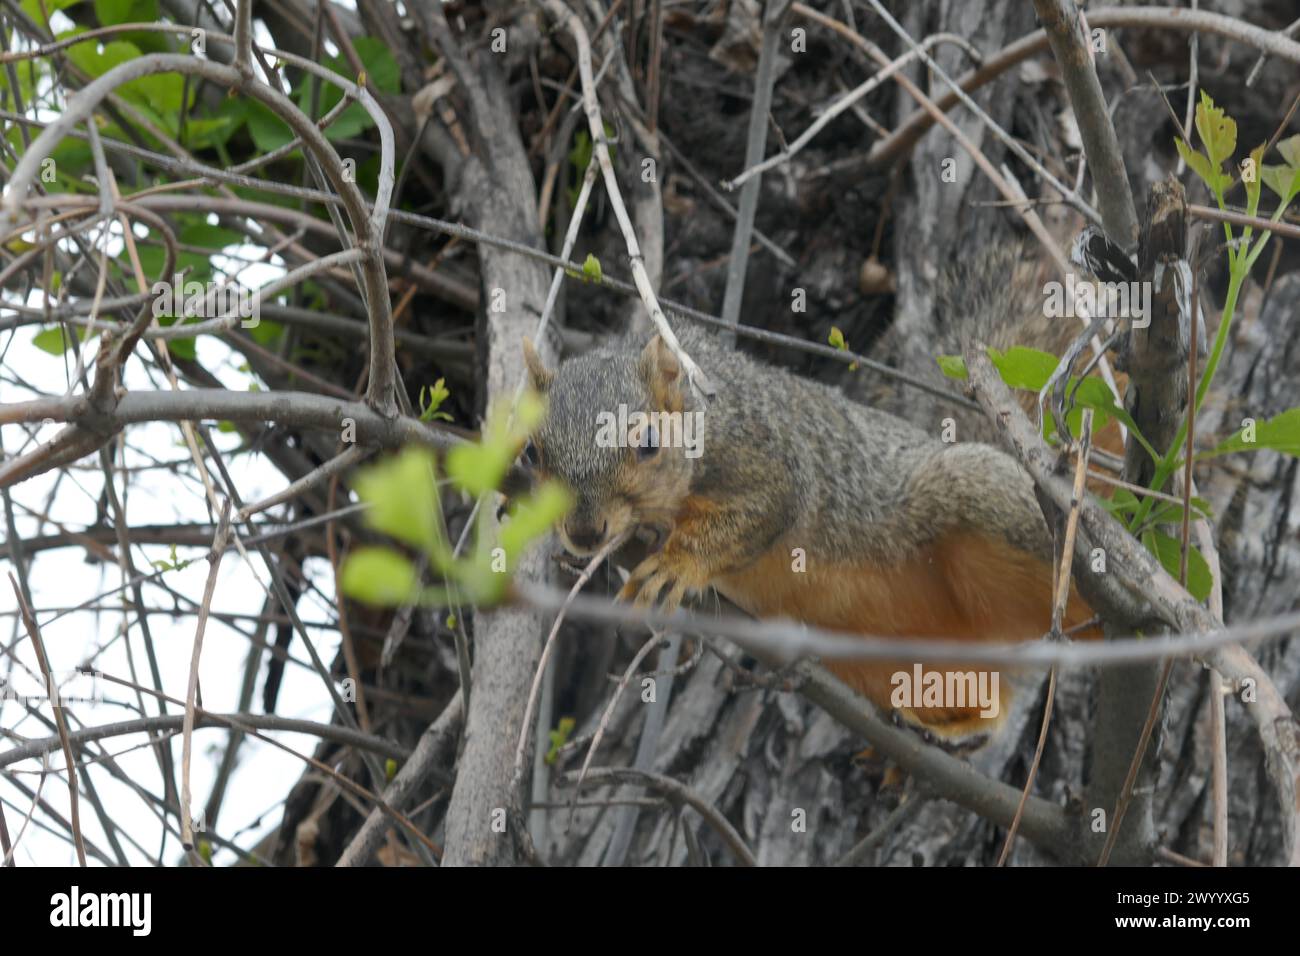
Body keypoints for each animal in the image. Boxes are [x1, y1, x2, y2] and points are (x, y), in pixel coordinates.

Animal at [520, 250, 1100, 739]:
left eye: (647, 443)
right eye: (531, 452)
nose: (584, 532)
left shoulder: (772, 462)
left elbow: (760, 511)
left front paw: (678, 563)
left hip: (987, 501)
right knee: (981, 698)